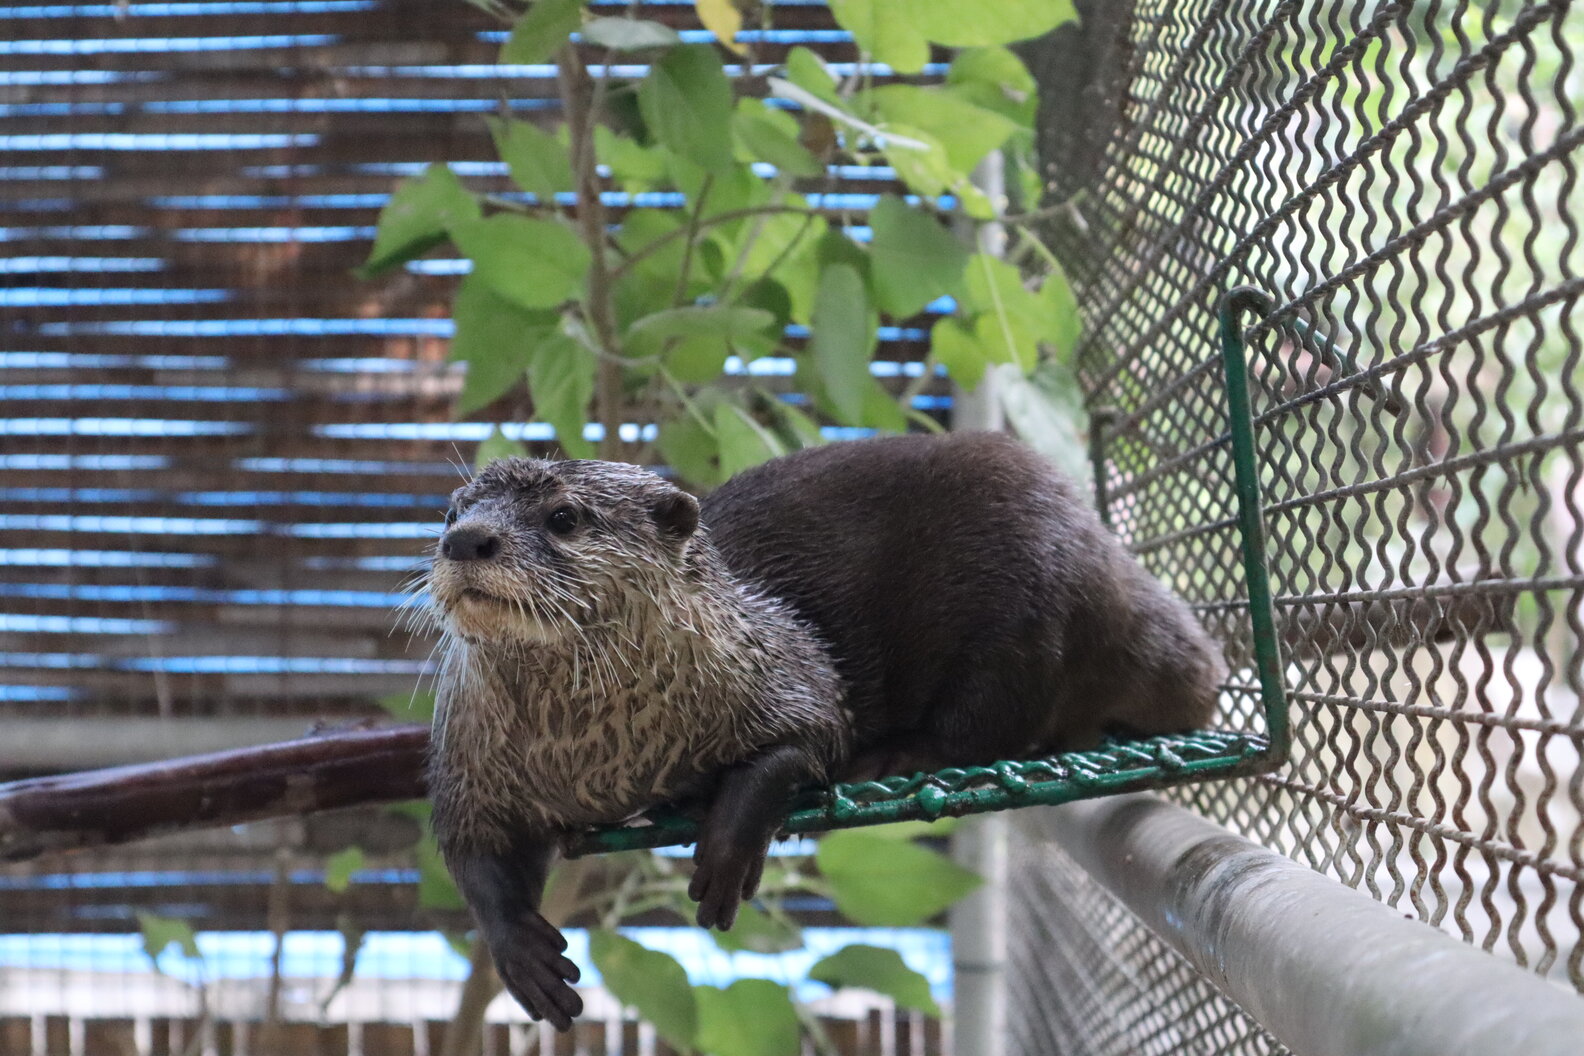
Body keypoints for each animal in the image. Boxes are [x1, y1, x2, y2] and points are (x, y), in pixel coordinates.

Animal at [424, 431, 1224, 1031]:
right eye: (453, 511)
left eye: (564, 517)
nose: (468, 540)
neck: (600, 752)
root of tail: (1105, 552)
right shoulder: (470, 760)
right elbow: (469, 845)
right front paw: (521, 951)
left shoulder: (790, 672)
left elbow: (806, 740)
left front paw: (728, 842)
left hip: (1024, 600)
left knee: (990, 720)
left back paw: (893, 755)